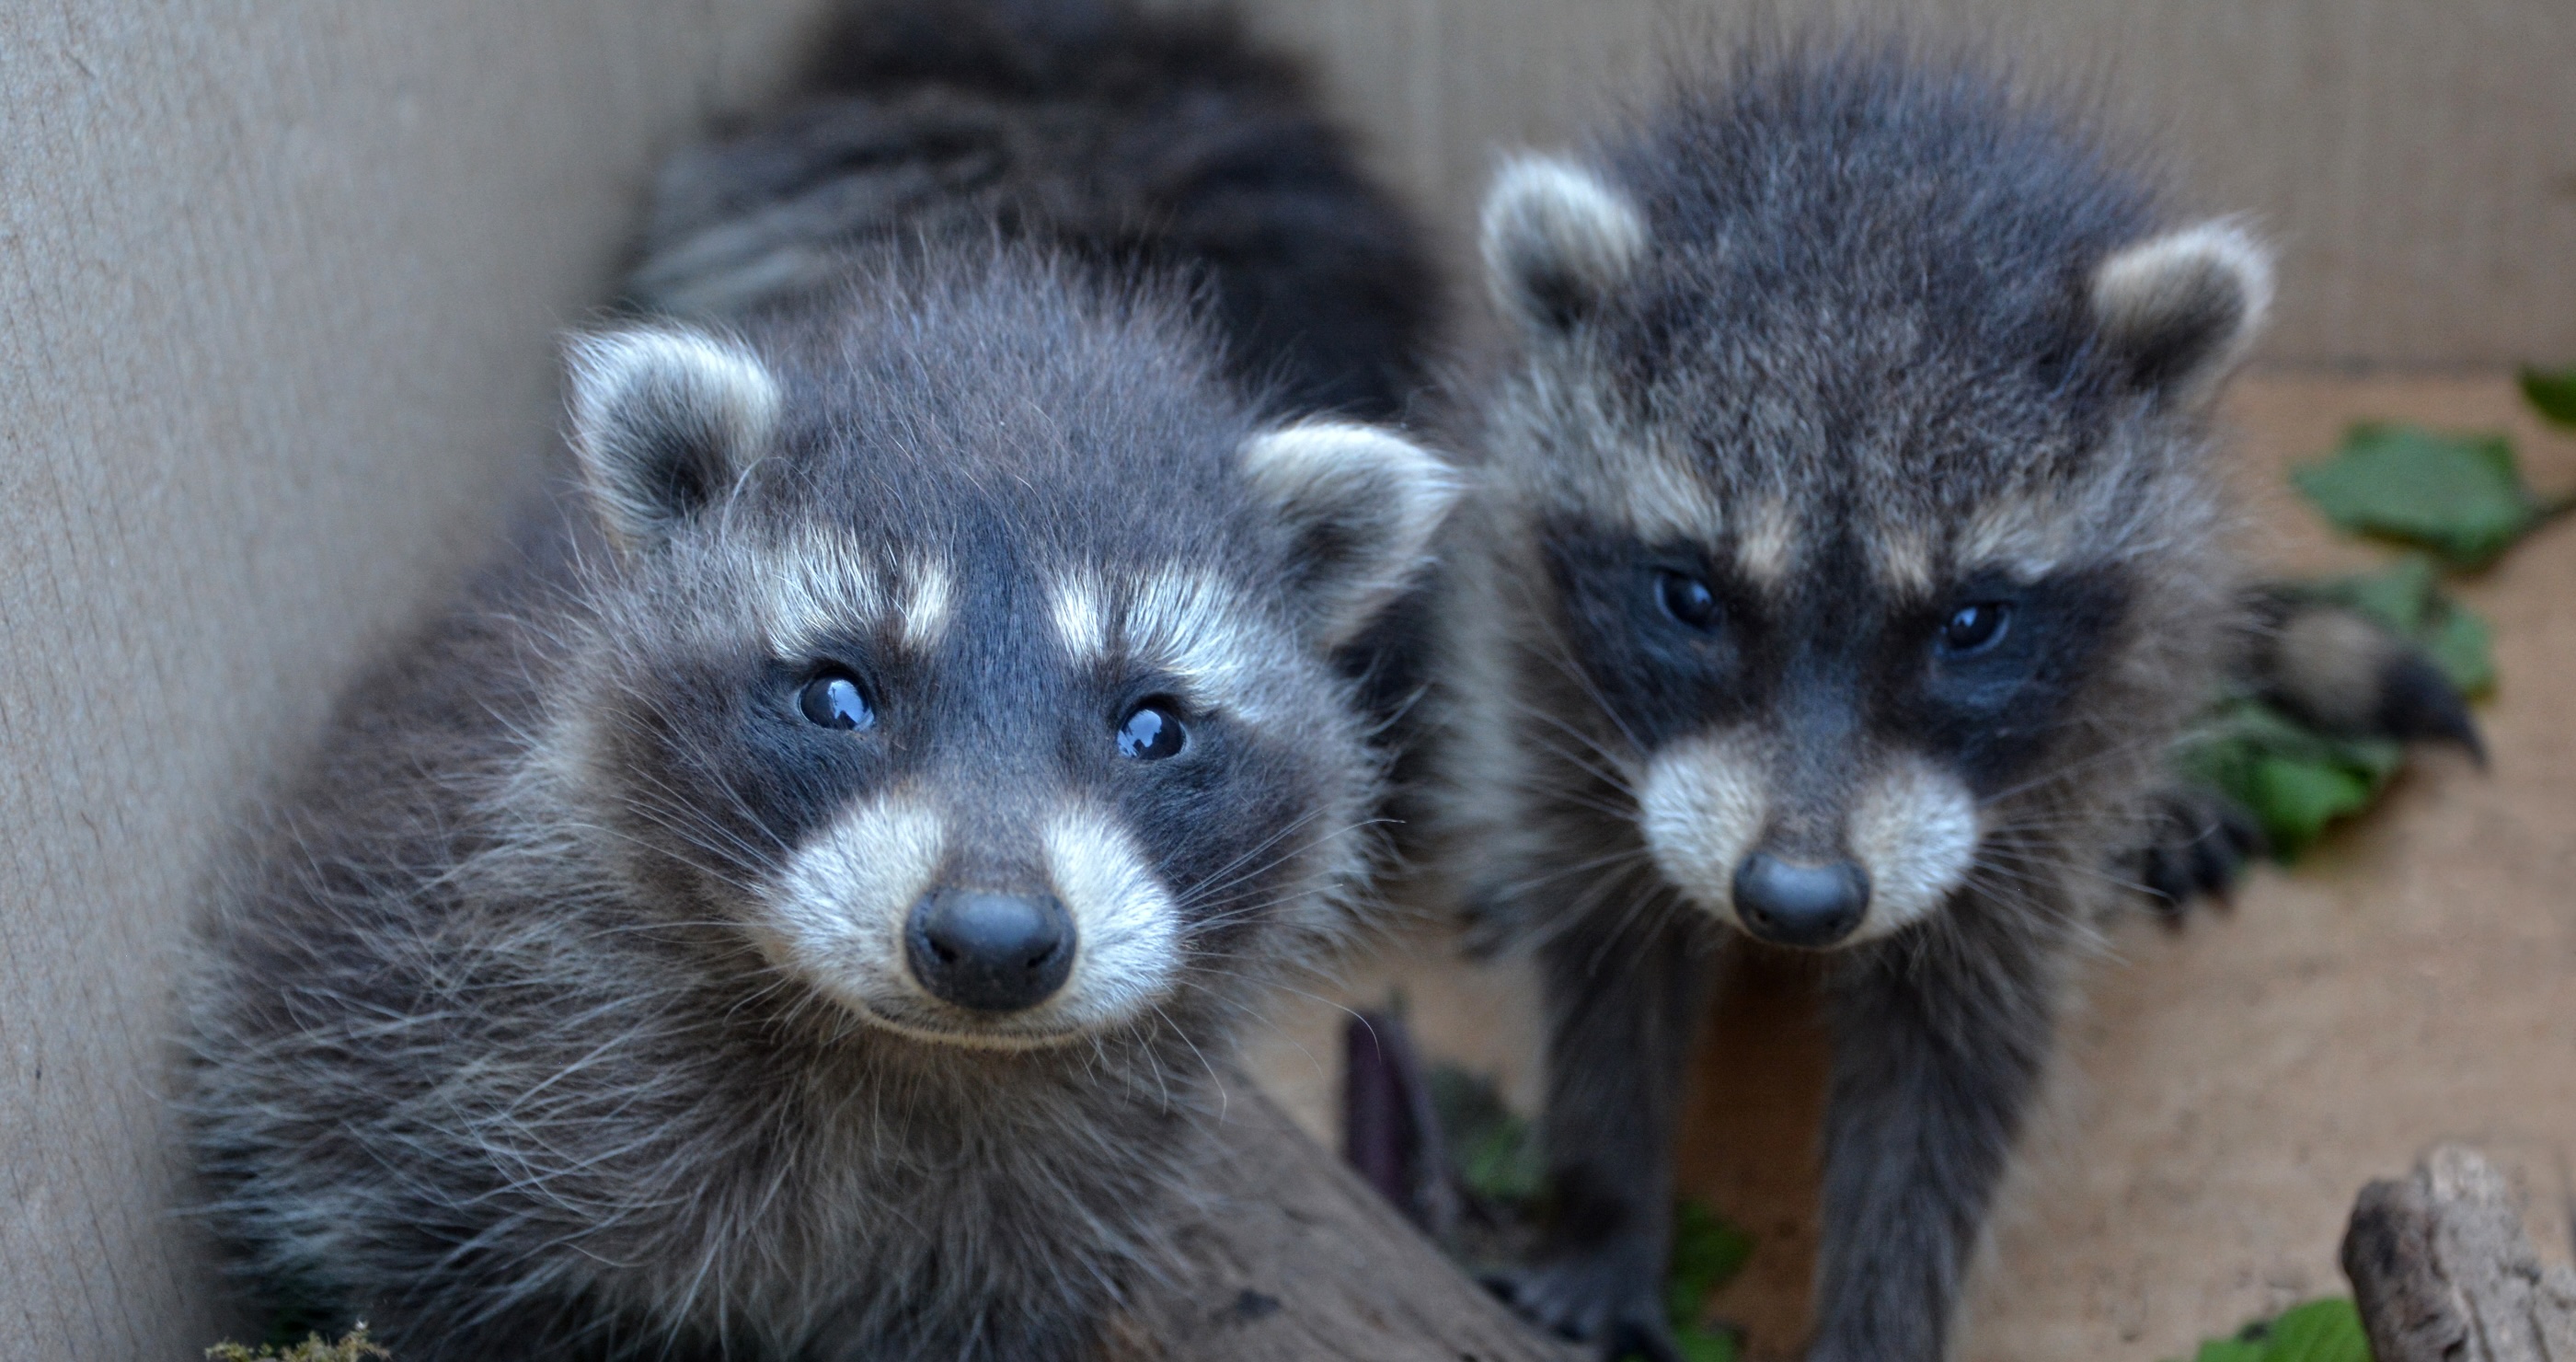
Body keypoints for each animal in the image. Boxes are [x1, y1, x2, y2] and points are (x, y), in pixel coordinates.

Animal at [1428, 49, 2444, 1361]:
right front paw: (1602, 1208)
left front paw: (1883, 1308)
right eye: (1690, 595)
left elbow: (1952, 1068)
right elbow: (1604, 958)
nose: (1796, 902)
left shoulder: (2067, 764)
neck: (1879, 182)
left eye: (1970, 622)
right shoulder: (1542, 661)